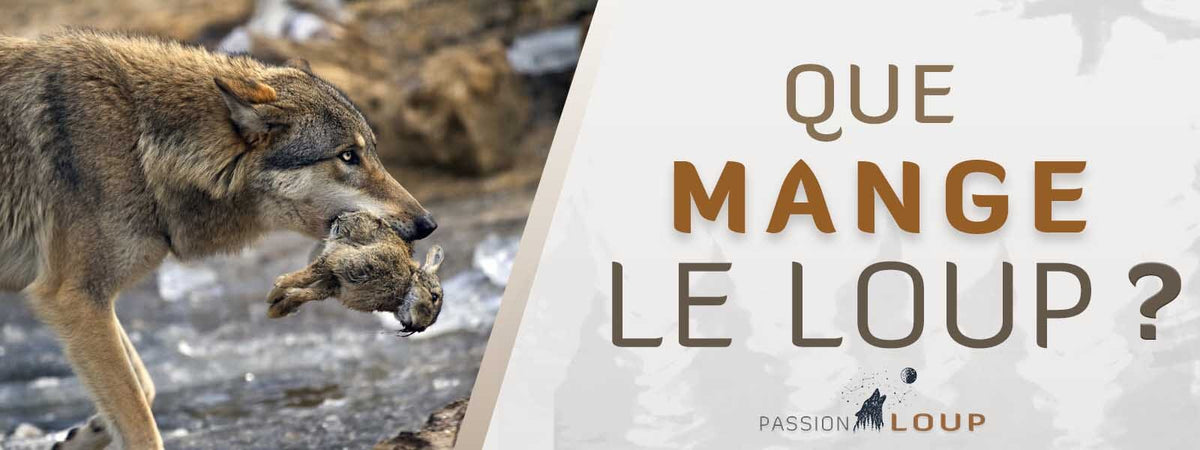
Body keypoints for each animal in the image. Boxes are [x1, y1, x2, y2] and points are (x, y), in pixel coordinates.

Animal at [0, 30, 437, 449]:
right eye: (347, 156)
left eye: (373, 152)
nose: (428, 223)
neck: (141, 145)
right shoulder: (73, 296)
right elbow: (142, 424)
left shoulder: (85, 300)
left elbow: (144, 386)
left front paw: (82, 434)